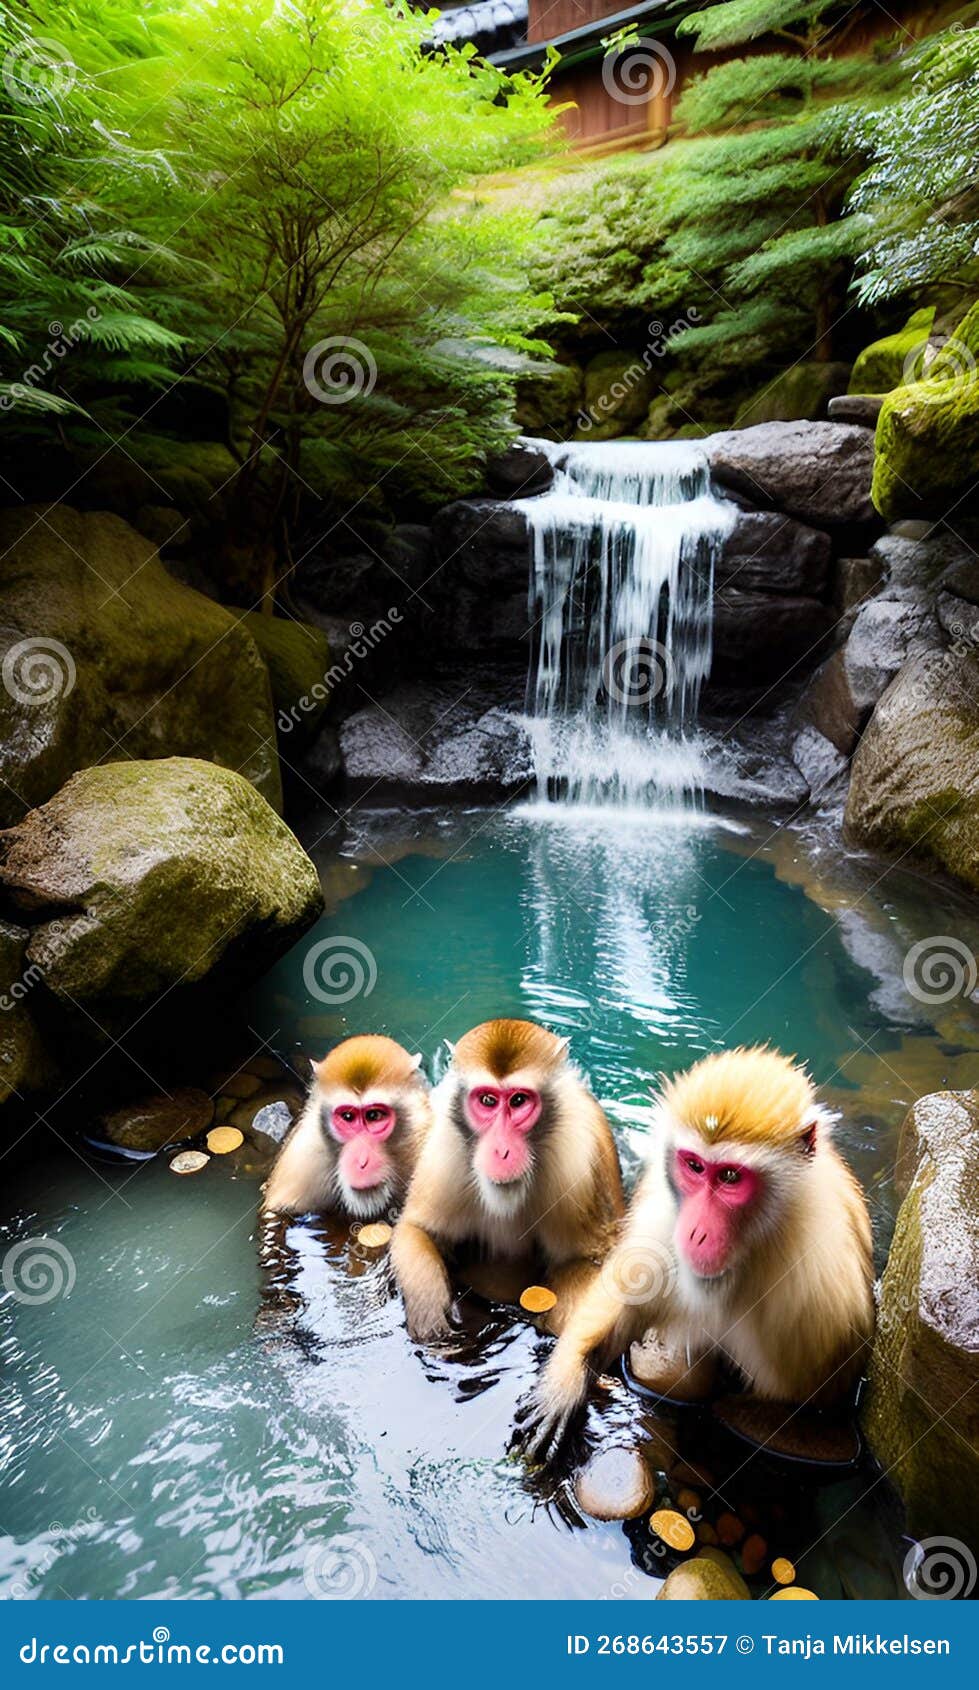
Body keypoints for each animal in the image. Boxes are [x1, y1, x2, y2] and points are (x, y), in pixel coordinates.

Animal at [390, 1018, 624, 1342]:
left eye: (519, 1100)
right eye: (488, 1100)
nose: (501, 1150)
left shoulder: (576, 1165)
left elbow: (588, 1260)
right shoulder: (445, 1148)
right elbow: (416, 1229)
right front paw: (429, 1312)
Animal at [525, 1045, 874, 1451]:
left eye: (730, 1176)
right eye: (694, 1166)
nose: (694, 1232)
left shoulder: (823, 1298)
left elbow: (813, 1414)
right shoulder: (663, 1219)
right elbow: (625, 1297)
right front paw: (565, 1378)